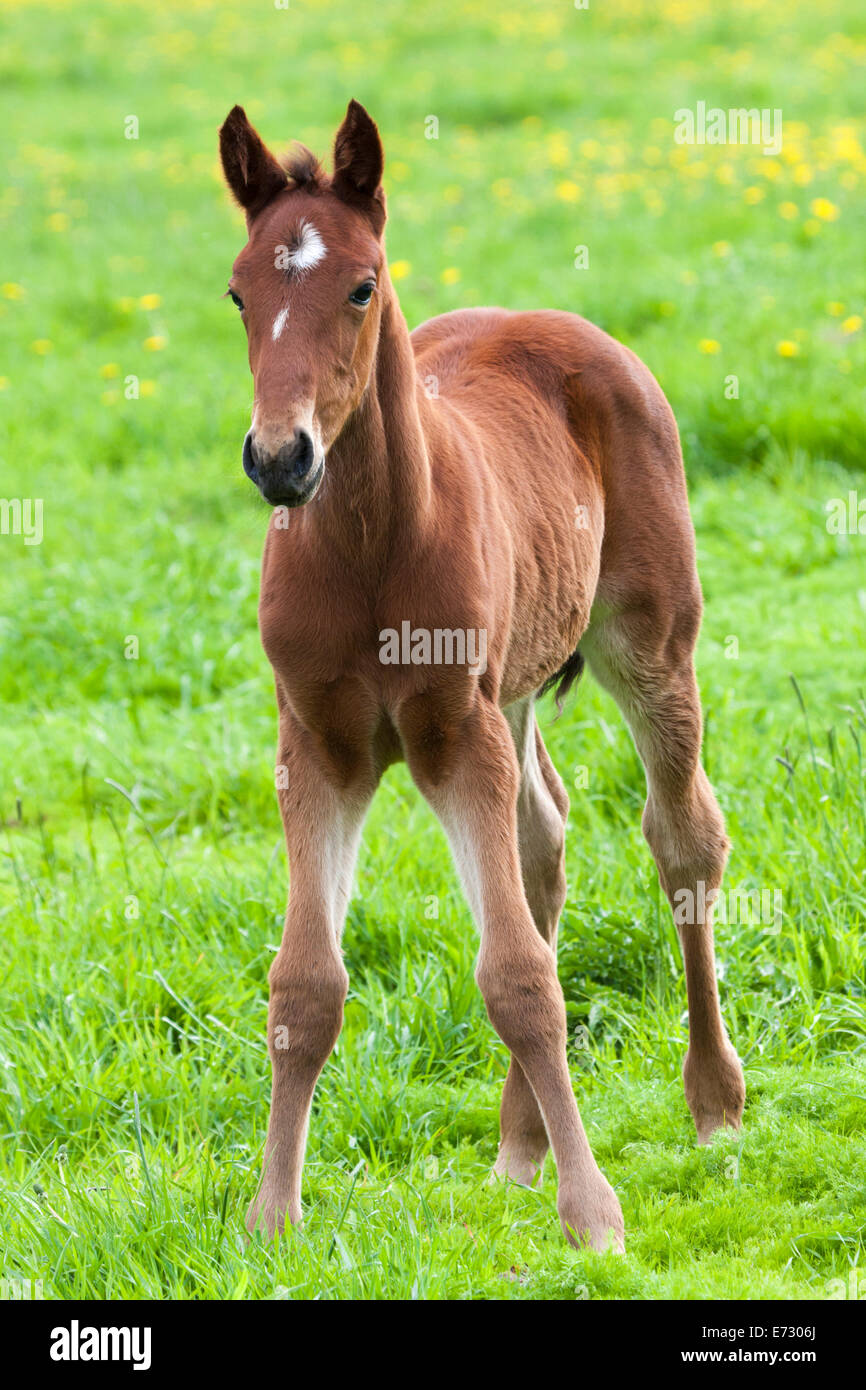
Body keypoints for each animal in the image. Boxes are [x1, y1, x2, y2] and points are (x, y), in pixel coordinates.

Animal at [218, 99, 745, 1253]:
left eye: (360, 284)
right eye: (238, 291)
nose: (280, 460)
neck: (369, 551)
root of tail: (553, 319)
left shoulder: (455, 732)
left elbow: (516, 975)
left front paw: (593, 1216)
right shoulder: (316, 744)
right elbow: (304, 983)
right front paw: (272, 1216)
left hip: (647, 644)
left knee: (681, 836)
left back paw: (713, 1105)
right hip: (511, 691)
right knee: (543, 837)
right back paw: (515, 1148)